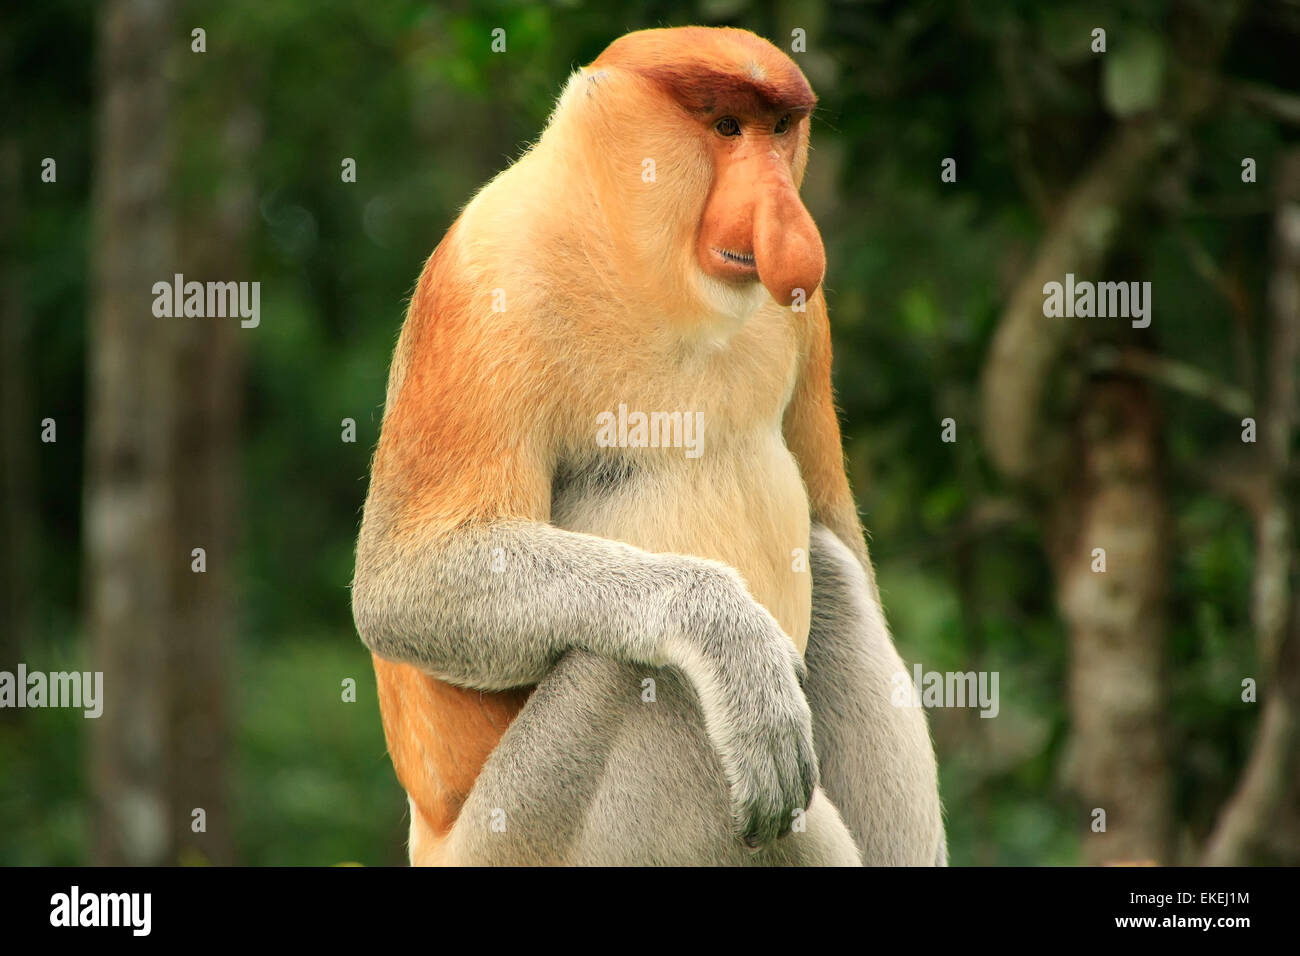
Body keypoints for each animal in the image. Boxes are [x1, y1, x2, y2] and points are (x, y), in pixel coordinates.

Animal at [351, 26, 945, 865]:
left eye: (779, 130)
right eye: (725, 127)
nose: (787, 224)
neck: (652, 270)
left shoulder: (809, 312)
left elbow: (835, 526)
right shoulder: (487, 281)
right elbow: (404, 584)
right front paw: (731, 642)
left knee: (829, 566)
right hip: (528, 826)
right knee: (643, 676)